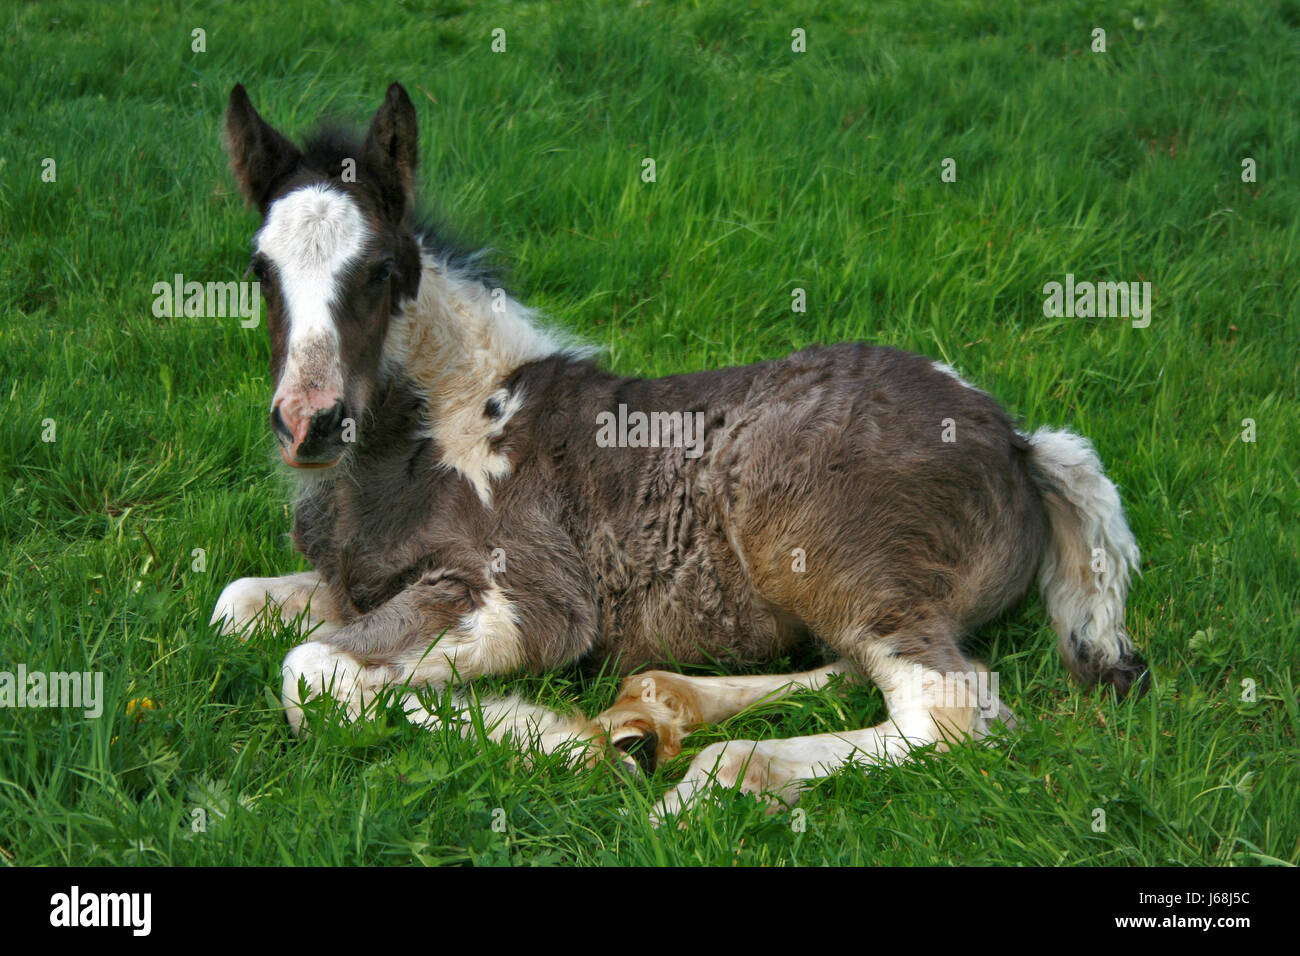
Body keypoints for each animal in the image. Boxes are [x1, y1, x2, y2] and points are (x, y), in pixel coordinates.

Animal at [211, 82, 1146, 818]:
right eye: (259, 271)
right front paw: (609, 732)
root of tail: (1017, 441)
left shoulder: (531, 601)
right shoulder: (352, 585)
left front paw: (567, 741)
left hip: (825, 554)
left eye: (378, 268)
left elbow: (314, 675)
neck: (448, 426)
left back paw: (712, 772)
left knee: (950, 710)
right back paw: (661, 707)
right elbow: (238, 607)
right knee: (853, 668)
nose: (308, 424)